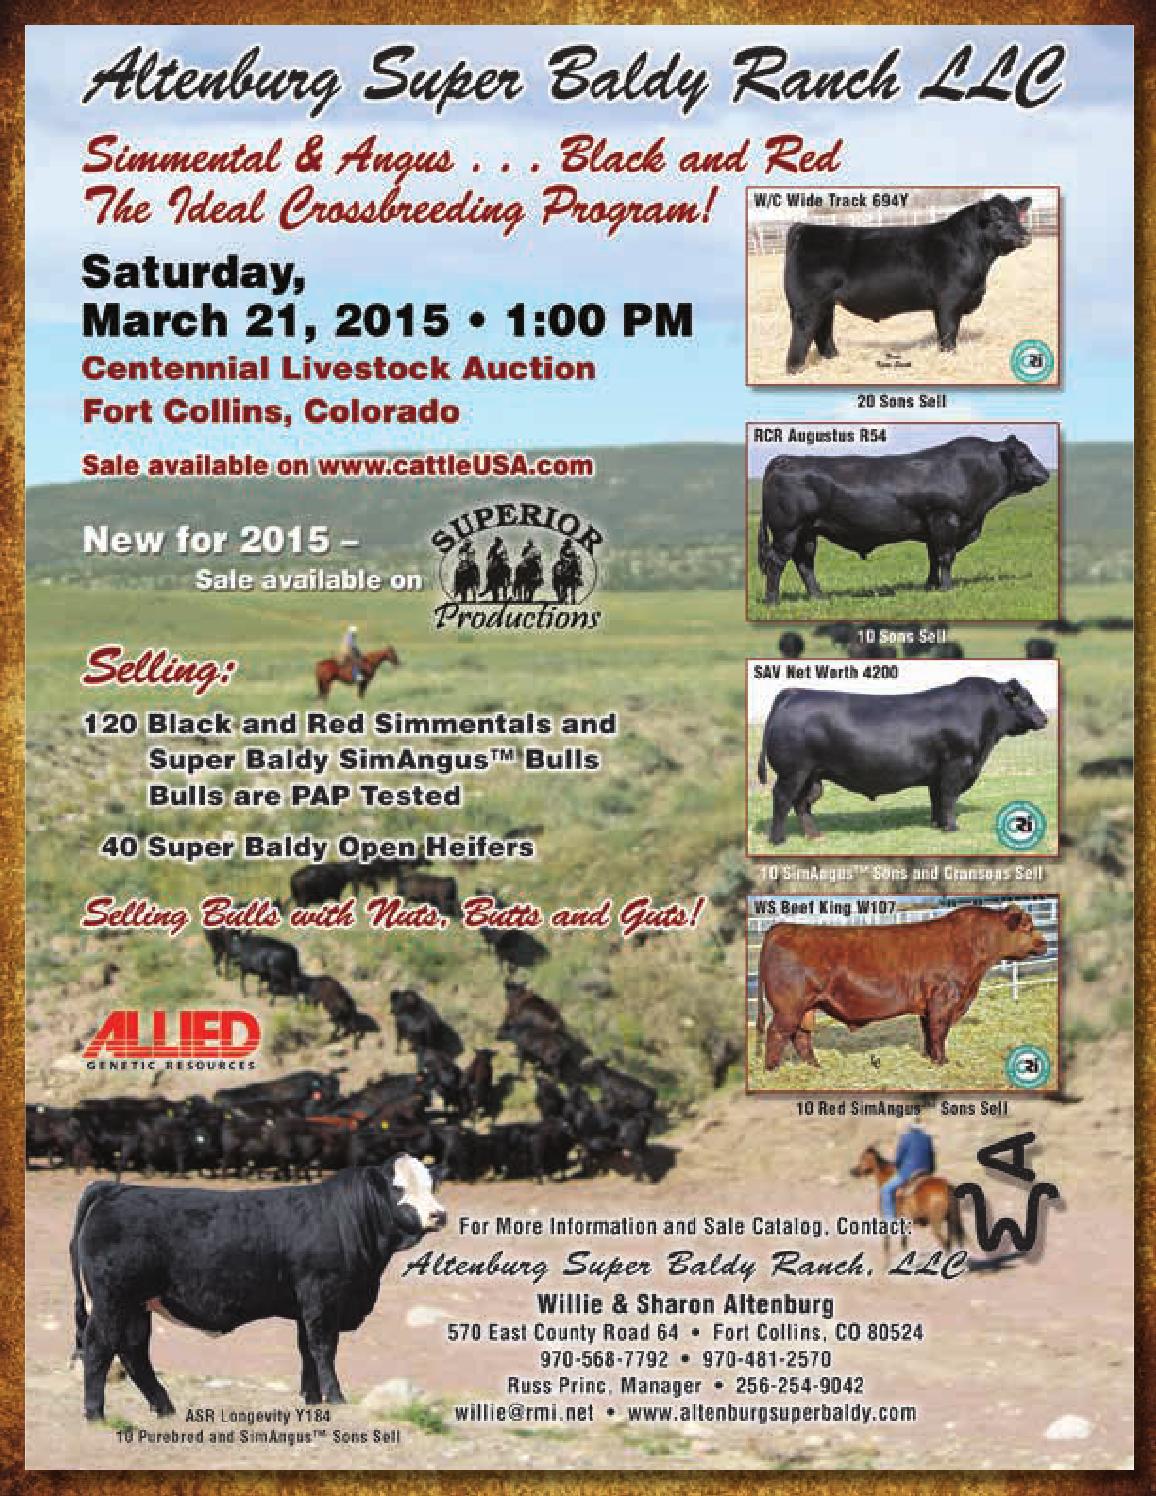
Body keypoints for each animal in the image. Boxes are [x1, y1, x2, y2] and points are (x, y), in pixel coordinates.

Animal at [69, 1156, 446, 1420]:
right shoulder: (322, 1296)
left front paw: (312, 1400)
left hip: (137, 1303)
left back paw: (164, 1408)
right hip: (113, 1299)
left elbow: (306, 1350)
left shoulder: (304, 1305)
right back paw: (95, 1413)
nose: (439, 1215)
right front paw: (336, 1397)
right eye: (398, 1188)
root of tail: (116, 1188)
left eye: (432, 1185)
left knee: (133, 1351)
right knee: (99, 1346)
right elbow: (323, 1347)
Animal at [755, 903, 1047, 1070]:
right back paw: (772, 1070)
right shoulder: (944, 998)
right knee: (777, 1034)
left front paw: (932, 1059)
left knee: (801, 1037)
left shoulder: (928, 1005)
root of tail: (781, 928)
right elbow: (939, 1032)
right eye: (1028, 926)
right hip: (789, 1006)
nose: (1044, 943)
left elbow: (929, 1033)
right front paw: (943, 1062)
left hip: (806, 1007)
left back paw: (815, 1066)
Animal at [756, 677, 1048, 844]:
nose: (1045, 718)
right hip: (793, 771)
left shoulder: (937, 773)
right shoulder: (957, 764)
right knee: (782, 799)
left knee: (802, 803)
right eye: (1026, 699)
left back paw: (815, 836)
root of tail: (793, 692)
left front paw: (937, 824)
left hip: (811, 775)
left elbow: (937, 799)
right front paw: (952, 827)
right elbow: (949, 797)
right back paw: (778, 839)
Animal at [757, 436, 1050, 604]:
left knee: (804, 563)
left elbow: (933, 558)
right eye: (1023, 455)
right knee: (776, 562)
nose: (1046, 473)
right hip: (787, 530)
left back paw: (819, 598)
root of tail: (785, 459)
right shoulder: (945, 519)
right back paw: (773, 601)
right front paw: (947, 589)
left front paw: (931, 587)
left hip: (807, 532)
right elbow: (946, 557)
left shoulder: (934, 528)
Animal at [782, 194, 1033, 373]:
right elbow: (949, 333)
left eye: (1018, 215)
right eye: (997, 217)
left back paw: (833, 358)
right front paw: (949, 357)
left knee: (823, 331)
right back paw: (795, 368)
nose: (1026, 237)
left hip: (826, 304)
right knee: (803, 332)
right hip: (806, 305)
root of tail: (805, 227)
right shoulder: (949, 302)